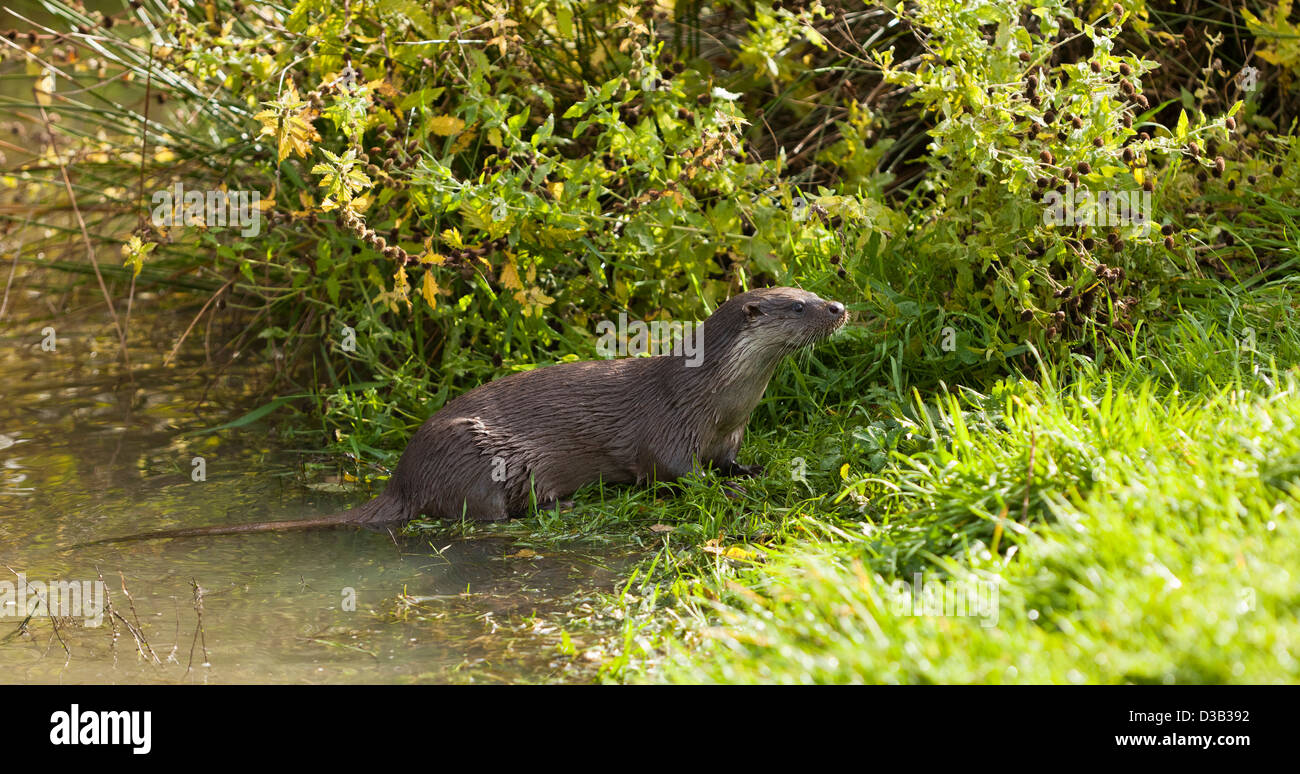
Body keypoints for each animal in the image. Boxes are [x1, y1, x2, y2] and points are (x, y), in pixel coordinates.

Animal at [99, 286, 847, 541]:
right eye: (799, 305)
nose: (840, 306)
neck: (717, 400)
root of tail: (402, 478)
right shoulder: (669, 432)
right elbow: (675, 473)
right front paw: (731, 490)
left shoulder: (729, 431)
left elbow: (731, 461)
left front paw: (751, 471)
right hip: (479, 455)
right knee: (482, 515)